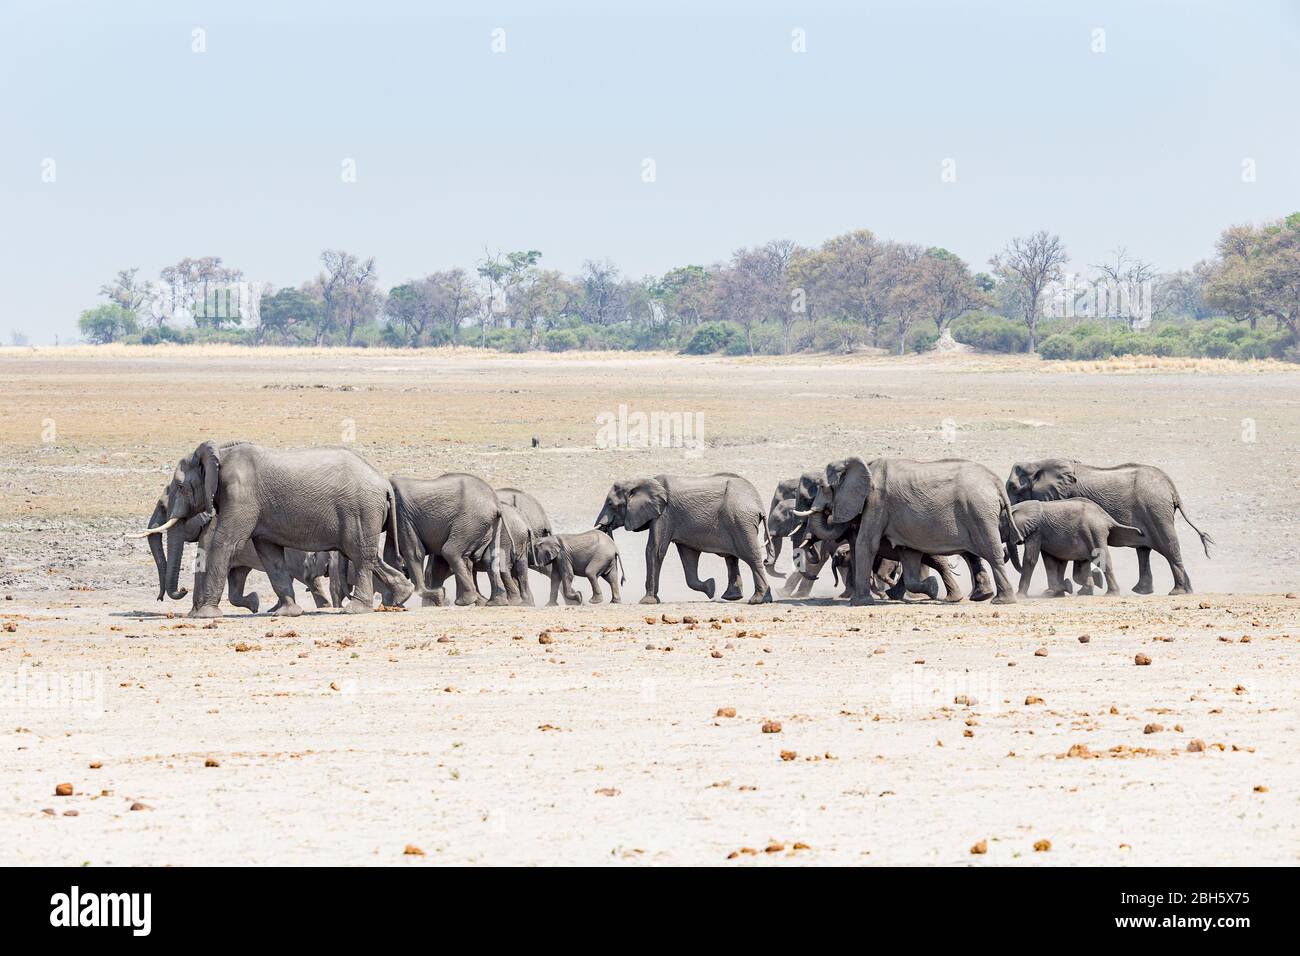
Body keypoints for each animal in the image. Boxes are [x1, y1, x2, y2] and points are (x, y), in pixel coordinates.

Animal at [132, 441, 412, 617]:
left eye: (180, 487)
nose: (178, 591)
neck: (220, 453)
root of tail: (384, 484)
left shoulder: (240, 496)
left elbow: (225, 543)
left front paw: (204, 615)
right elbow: (270, 554)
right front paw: (287, 613)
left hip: (361, 509)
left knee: (360, 556)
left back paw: (356, 610)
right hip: (364, 514)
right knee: (367, 555)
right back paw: (401, 597)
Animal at [388, 472, 510, 606]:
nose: (404, 570)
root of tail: (496, 503)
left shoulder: (402, 514)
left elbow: (415, 552)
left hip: (471, 521)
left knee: (450, 551)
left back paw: (466, 600)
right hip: (489, 525)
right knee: (489, 558)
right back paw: (494, 602)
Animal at [594, 473, 772, 604]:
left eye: (610, 504)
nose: (606, 527)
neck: (641, 481)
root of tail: (759, 504)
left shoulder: (664, 514)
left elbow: (655, 550)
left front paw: (646, 602)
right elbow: (689, 557)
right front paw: (711, 587)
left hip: (740, 520)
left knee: (751, 556)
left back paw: (757, 600)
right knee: (731, 558)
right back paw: (733, 597)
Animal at [807, 457, 1021, 605]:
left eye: (822, 487)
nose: (826, 511)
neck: (865, 465)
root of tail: (995, 481)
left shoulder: (876, 501)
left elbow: (866, 543)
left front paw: (859, 603)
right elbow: (908, 553)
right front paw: (932, 587)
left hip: (979, 512)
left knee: (991, 553)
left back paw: (1001, 601)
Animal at [1008, 499, 1145, 597]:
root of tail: (1106, 517)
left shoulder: (1036, 532)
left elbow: (1030, 559)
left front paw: (1019, 596)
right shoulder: (1043, 535)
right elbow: (1050, 561)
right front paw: (1057, 592)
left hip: (1094, 532)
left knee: (1102, 559)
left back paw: (1111, 594)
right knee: (1083, 565)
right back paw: (1083, 591)